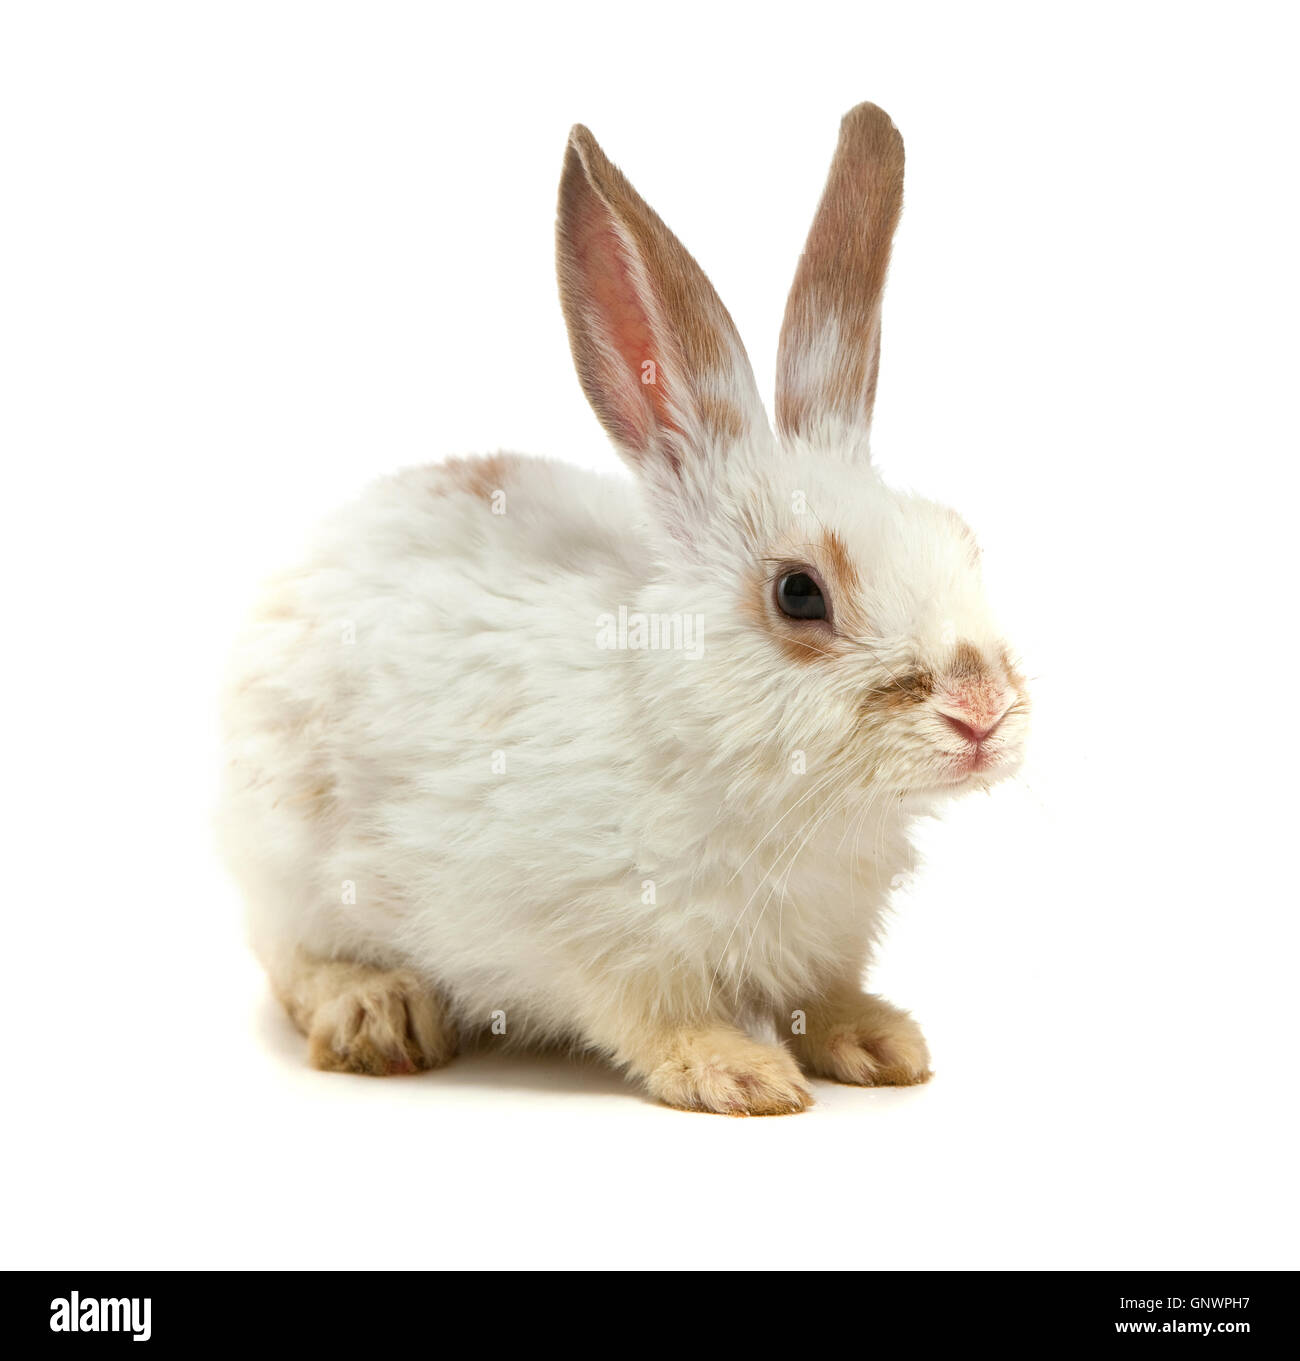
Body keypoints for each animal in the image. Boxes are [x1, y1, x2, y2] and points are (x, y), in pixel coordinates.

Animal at [217, 102, 1029, 1115]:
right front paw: (738, 1072)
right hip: (286, 859)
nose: (982, 711)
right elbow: (649, 1014)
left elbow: (826, 993)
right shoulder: (591, 938)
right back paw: (378, 1012)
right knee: (292, 960)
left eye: (960, 540)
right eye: (800, 592)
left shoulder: (829, 941)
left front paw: (883, 1044)